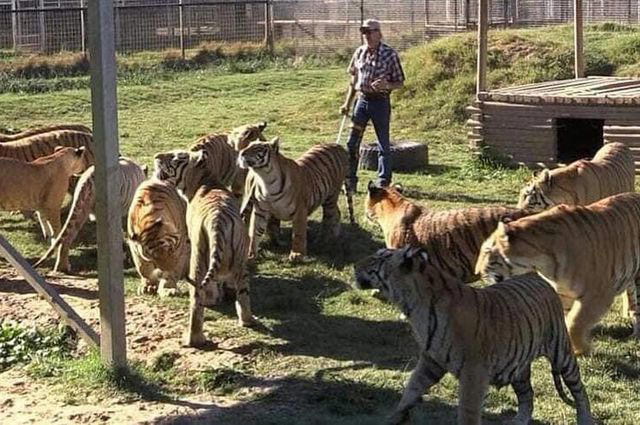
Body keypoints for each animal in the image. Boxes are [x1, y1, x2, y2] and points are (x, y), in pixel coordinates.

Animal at [153, 149, 255, 347]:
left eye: (176, 156)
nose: (156, 157)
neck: (203, 178)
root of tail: (218, 220)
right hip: (241, 260)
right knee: (243, 295)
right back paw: (247, 320)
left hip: (197, 261)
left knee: (196, 302)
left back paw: (193, 339)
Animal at [354, 246, 595, 425]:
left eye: (378, 258)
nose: (355, 265)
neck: (411, 304)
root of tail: (536, 276)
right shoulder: (431, 361)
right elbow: (409, 392)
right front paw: (393, 418)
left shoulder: (473, 372)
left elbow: (467, 412)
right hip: (518, 367)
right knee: (528, 396)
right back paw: (519, 421)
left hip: (561, 353)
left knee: (580, 391)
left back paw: (585, 419)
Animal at [475, 192, 640, 356]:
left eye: (486, 252)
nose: (477, 271)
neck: (541, 262)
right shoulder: (563, 293)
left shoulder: (598, 295)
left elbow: (575, 322)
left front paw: (582, 350)